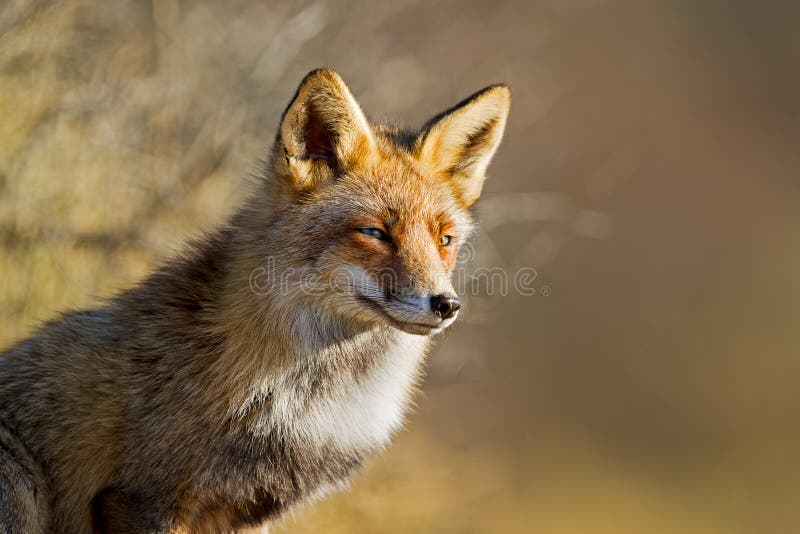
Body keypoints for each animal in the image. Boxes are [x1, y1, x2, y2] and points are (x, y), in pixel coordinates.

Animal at [0, 68, 510, 533]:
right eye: (374, 233)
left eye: (445, 240)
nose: (445, 304)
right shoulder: (142, 498)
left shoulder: (243, 512)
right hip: (21, 488)